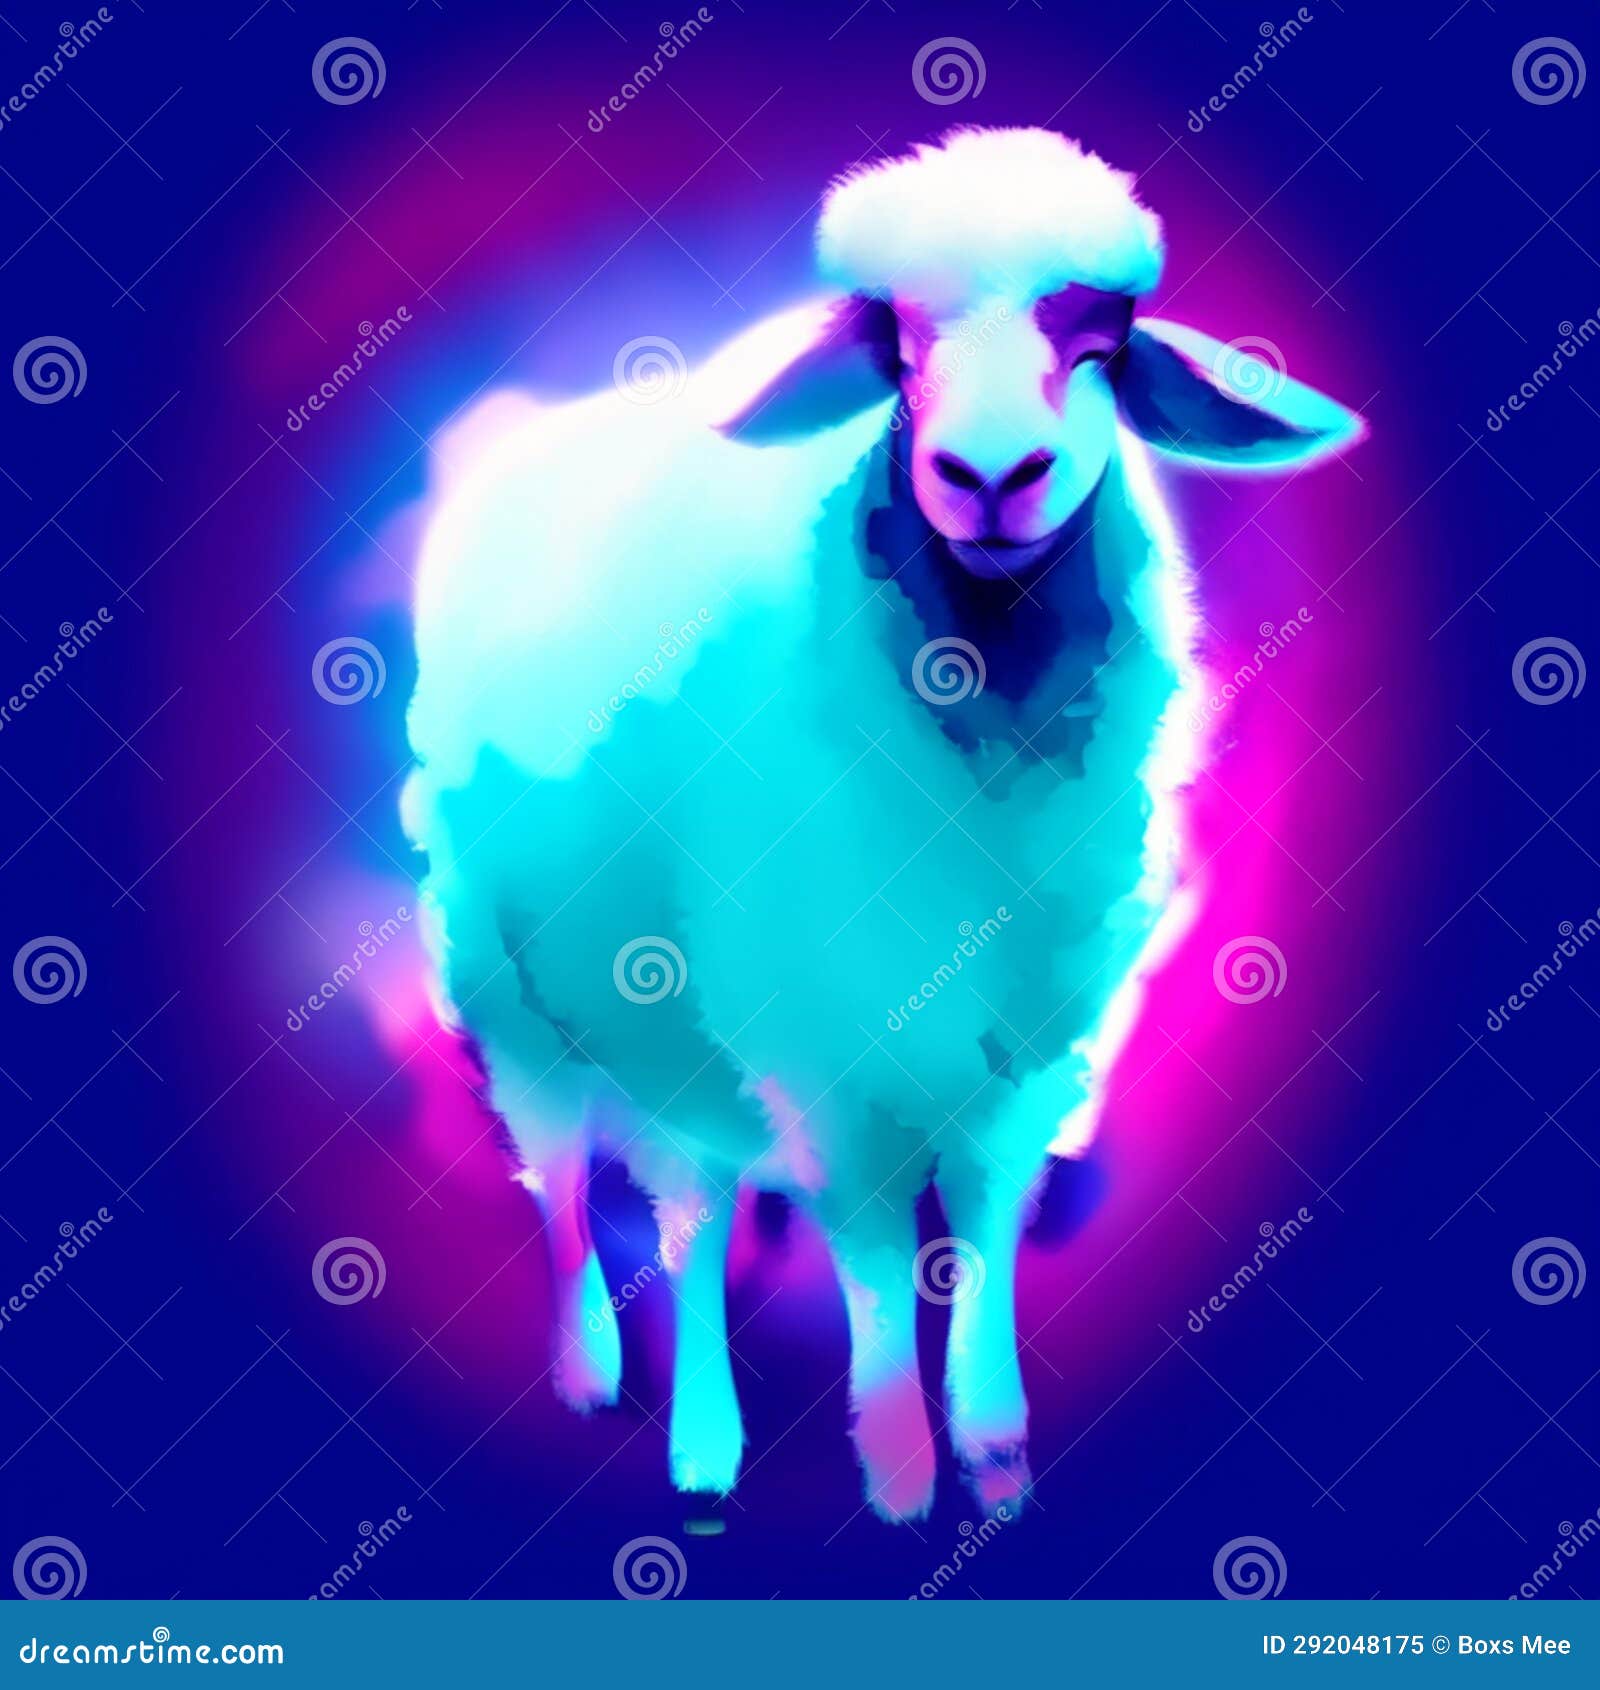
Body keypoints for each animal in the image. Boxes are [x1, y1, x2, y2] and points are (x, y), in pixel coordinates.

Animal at [402, 126, 1363, 1521]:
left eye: (1103, 343)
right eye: (895, 353)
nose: (991, 477)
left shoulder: (1031, 1032)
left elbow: (985, 1215)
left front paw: (996, 1451)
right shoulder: (828, 1026)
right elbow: (865, 1243)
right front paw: (902, 1466)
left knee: (695, 1202)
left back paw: (704, 1422)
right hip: (524, 973)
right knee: (577, 1183)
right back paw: (613, 1382)